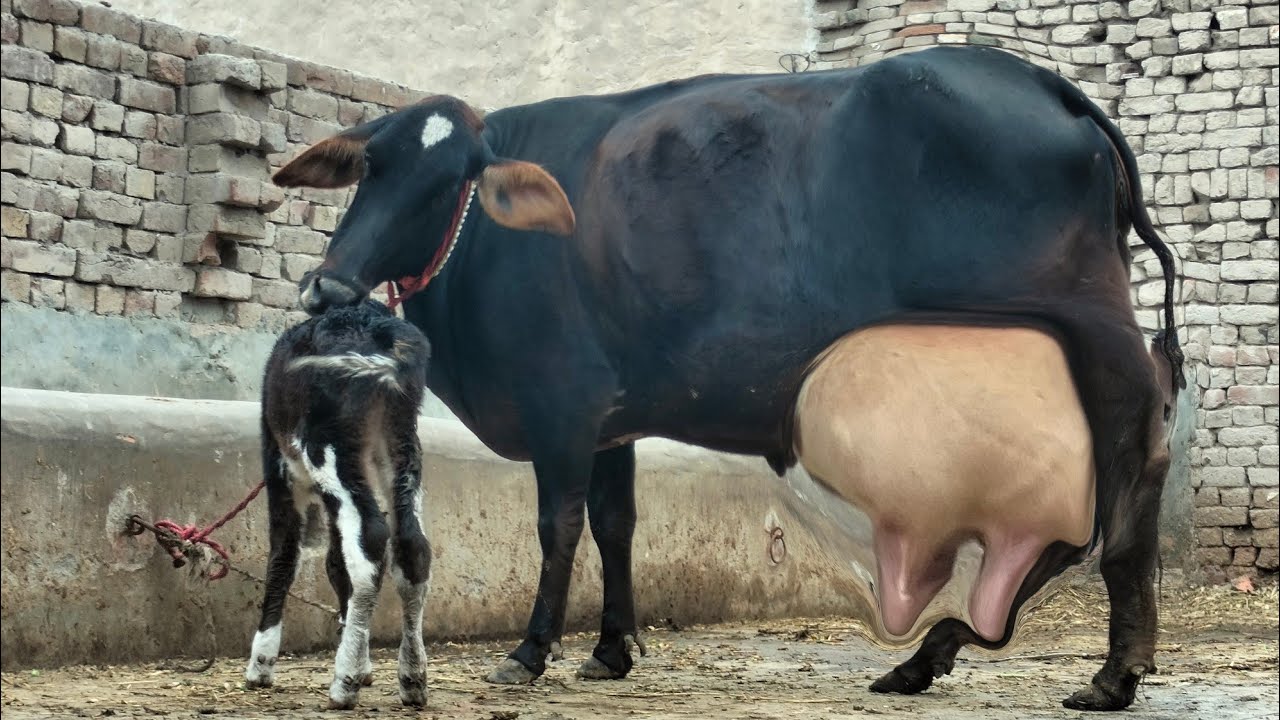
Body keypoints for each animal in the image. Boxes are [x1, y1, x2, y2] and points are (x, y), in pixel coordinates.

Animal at [246, 300, 433, 709]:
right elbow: (335, 563)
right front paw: (364, 663)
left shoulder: (279, 468)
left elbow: (283, 555)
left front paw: (261, 663)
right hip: (402, 443)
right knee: (411, 547)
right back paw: (412, 677)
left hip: (327, 445)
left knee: (372, 540)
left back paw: (343, 683)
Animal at [272, 45, 1184, 711]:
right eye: (371, 168)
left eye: (446, 183)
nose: (329, 286)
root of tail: (1036, 80)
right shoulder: (612, 418)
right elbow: (616, 524)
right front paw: (612, 648)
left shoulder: (560, 406)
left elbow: (558, 527)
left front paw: (531, 651)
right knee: (1080, 516)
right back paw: (937, 654)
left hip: (1088, 334)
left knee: (1125, 485)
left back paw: (1109, 674)